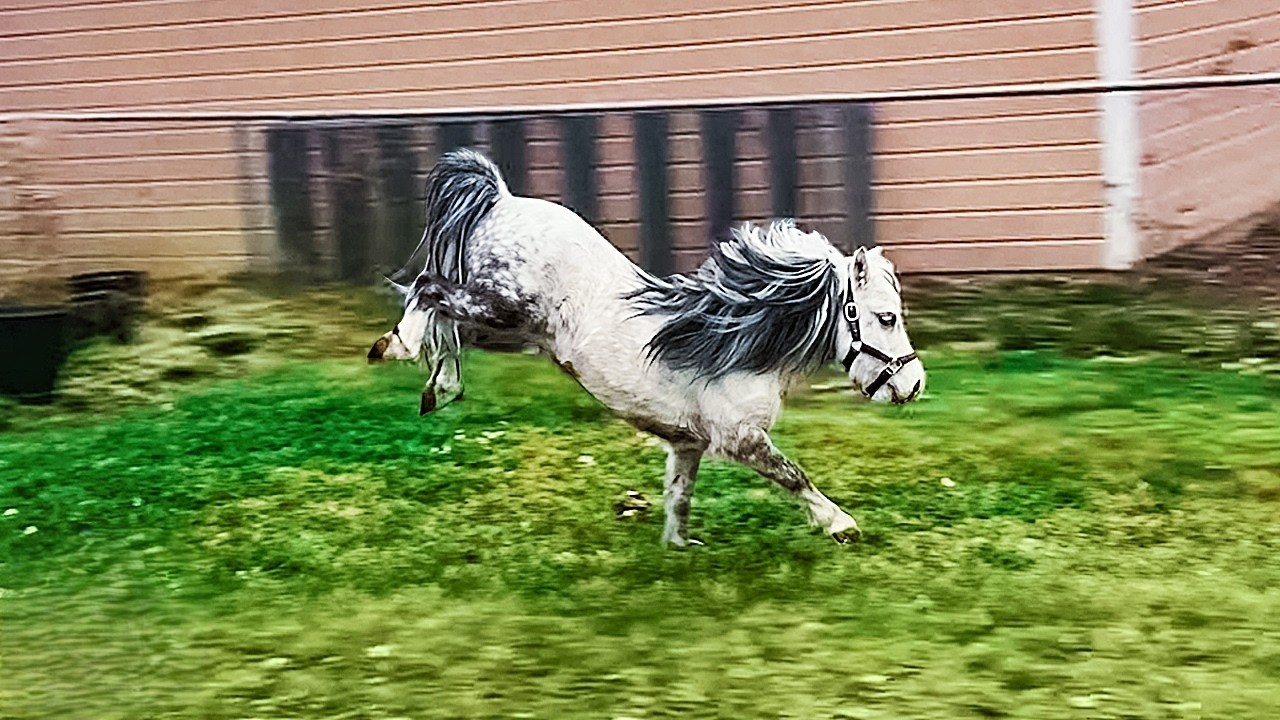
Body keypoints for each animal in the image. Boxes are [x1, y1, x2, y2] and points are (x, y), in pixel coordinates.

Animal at [367, 149, 924, 546]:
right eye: (886, 317)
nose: (914, 384)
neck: (735, 341)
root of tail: (501, 198)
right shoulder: (741, 438)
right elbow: (794, 475)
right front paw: (841, 525)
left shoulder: (688, 444)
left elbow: (679, 497)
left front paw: (679, 551)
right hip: (503, 308)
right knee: (429, 290)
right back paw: (397, 351)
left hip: (503, 316)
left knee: (443, 318)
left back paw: (436, 388)